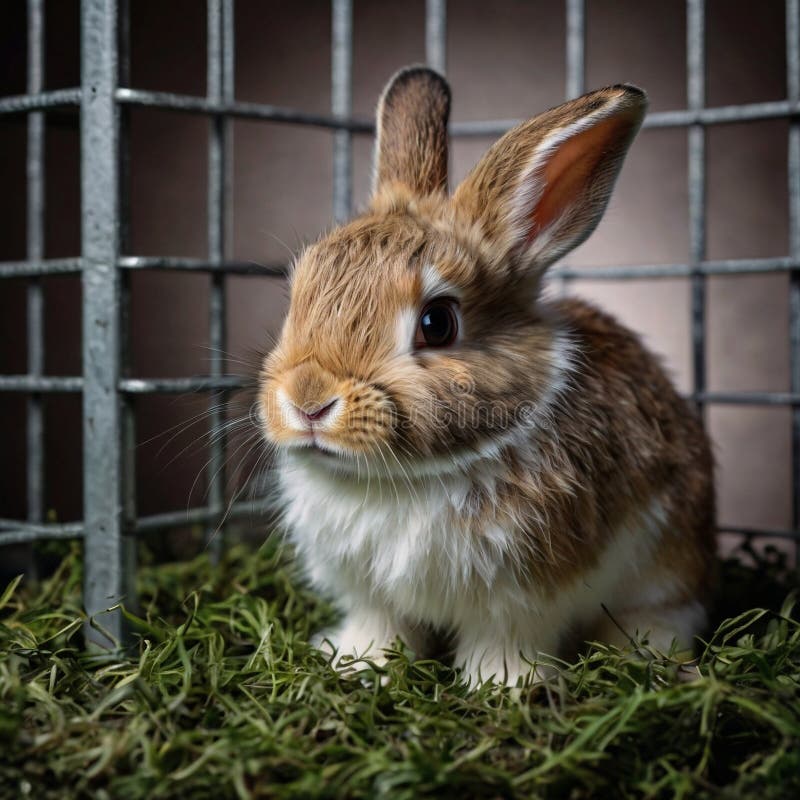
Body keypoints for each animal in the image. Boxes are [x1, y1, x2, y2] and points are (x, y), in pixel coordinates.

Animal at [258, 66, 716, 687]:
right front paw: (357, 665)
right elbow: (380, 626)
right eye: (296, 297)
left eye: (437, 323)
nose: (308, 401)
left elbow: (507, 642)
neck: (401, 479)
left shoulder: (525, 594)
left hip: (669, 569)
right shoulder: (370, 593)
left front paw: (503, 687)